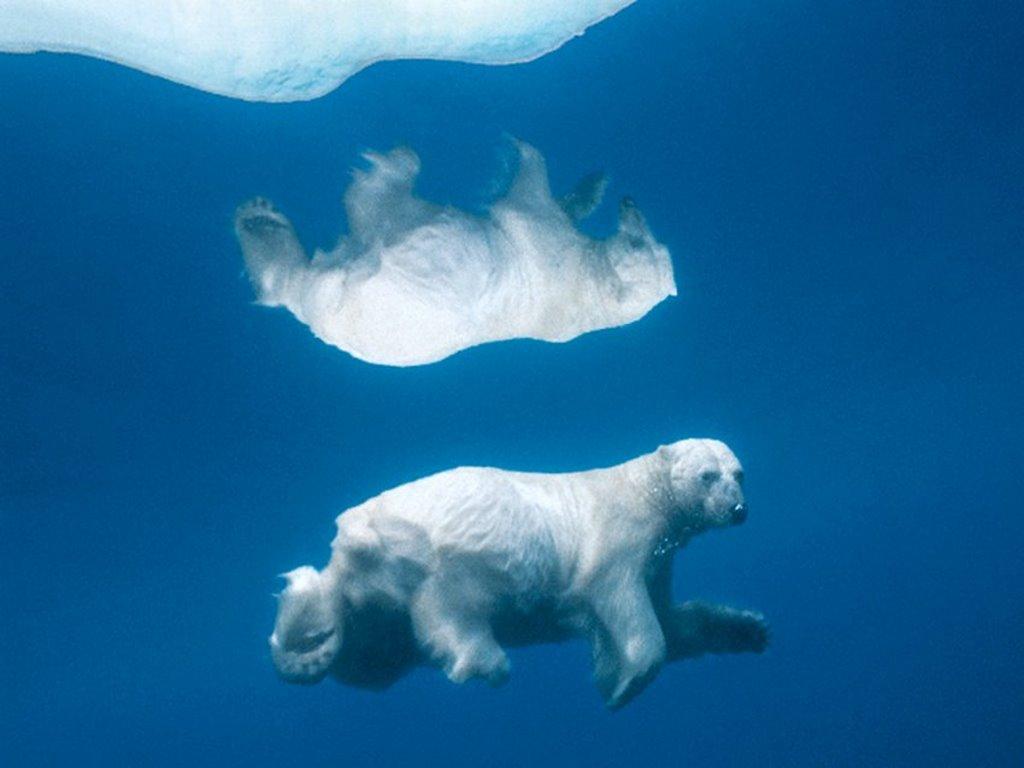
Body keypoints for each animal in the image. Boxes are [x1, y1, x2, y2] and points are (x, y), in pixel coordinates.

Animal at [234, 140, 676, 367]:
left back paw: (262, 217)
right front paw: (594, 184)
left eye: (639, 243)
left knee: (372, 205)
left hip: (361, 290)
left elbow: (529, 190)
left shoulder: (544, 243)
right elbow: (560, 201)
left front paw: (515, 152)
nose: (630, 204)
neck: (587, 294)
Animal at [269, 439, 768, 708]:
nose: (738, 510)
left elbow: (675, 620)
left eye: (740, 473)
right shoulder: (619, 539)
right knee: (450, 609)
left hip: (376, 614)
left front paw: (749, 629)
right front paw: (622, 683)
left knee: (368, 657)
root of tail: (348, 546)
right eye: (708, 476)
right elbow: (628, 609)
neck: (644, 491)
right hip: (446, 555)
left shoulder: (660, 558)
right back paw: (483, 661)